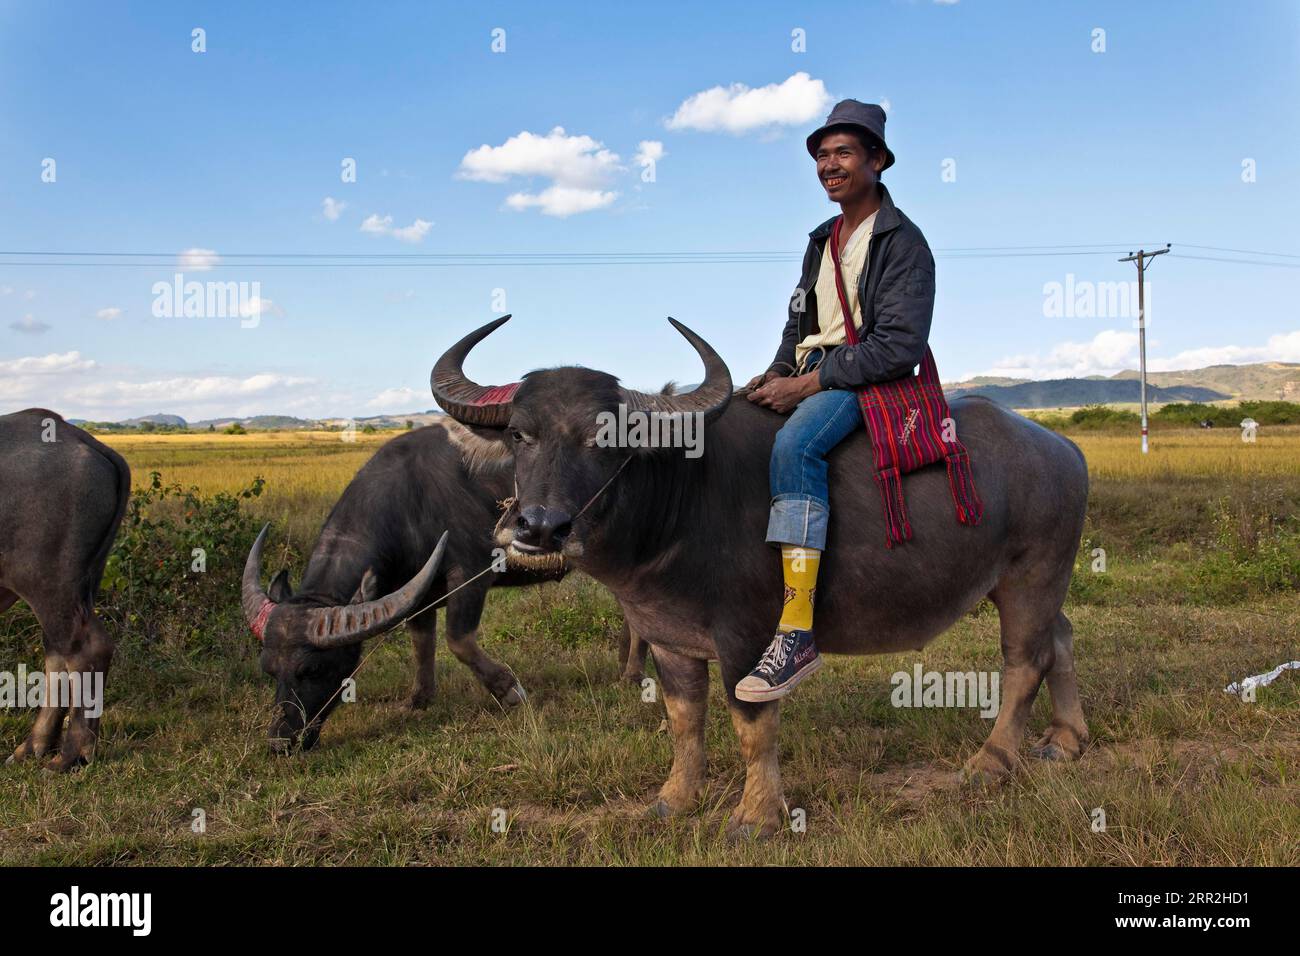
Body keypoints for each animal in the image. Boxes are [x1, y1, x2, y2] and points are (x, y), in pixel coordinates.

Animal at [1, 409, 130, 770]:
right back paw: (34, 747)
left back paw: (72, 754)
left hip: (47, 581)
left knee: (84, 649)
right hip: (80, 585)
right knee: (58, 653)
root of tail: (78, 437)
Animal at [242, 416, 648, 753]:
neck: (411, 503)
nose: (281, 742)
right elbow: (422, 642)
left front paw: (510, 691)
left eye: (313, 669)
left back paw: (632, 674)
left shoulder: (471, 574)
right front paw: (418, 699)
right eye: (268, 669)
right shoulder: (415, 589)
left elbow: (458, 640)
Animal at [431, 317, 1090, 837]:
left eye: (606, 439)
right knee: (1060, 637)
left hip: (1030, 576)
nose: (541, 527)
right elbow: (684, 721)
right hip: (1039, 582)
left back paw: (991, 762)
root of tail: (1062, 448)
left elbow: (752, 724)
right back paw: (1066, 739)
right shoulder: (669, 640)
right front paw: (675, 800)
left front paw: (756, 817)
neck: (676, 503)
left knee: (1025, 660)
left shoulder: (745, 636)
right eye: (520, 434)